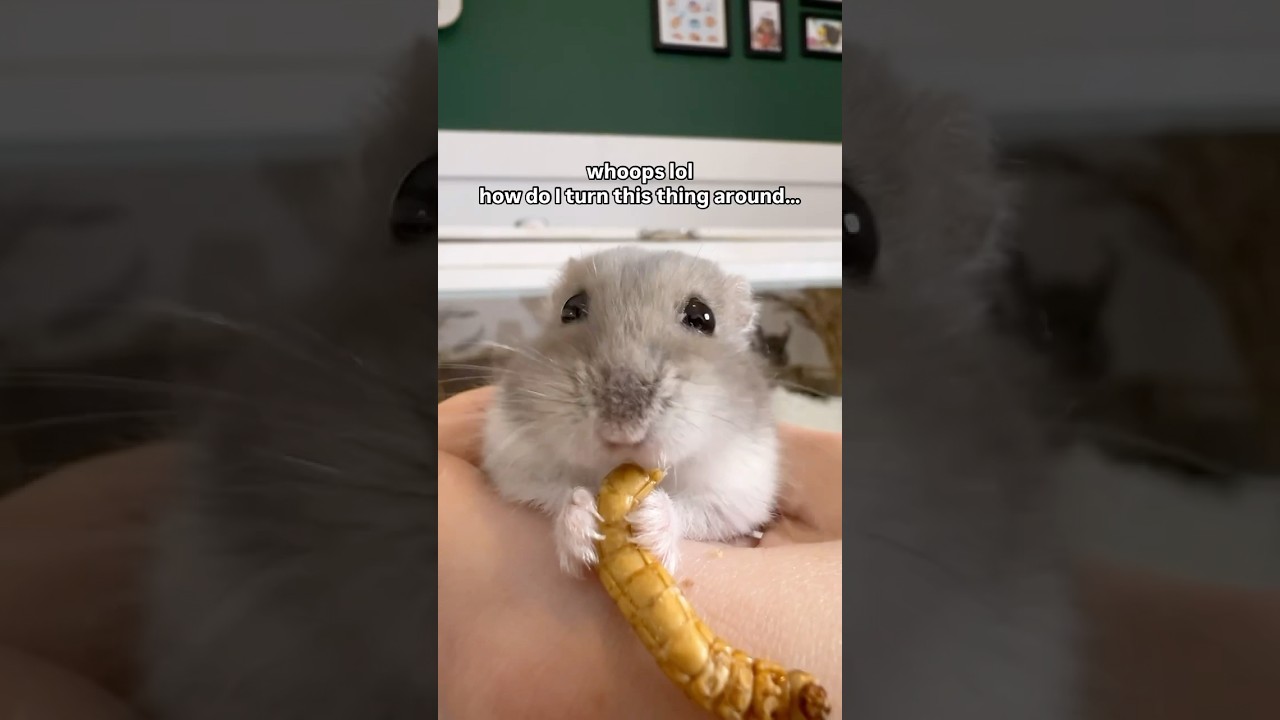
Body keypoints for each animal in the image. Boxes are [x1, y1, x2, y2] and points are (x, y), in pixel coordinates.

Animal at [482, 247, 779, 576]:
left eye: (702, 317)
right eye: (570, 309)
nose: (621, 430)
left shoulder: (740, 491)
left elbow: (695, 510)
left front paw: (648, 526)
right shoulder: (515, 465)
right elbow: (554, 492)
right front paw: (583, 529)